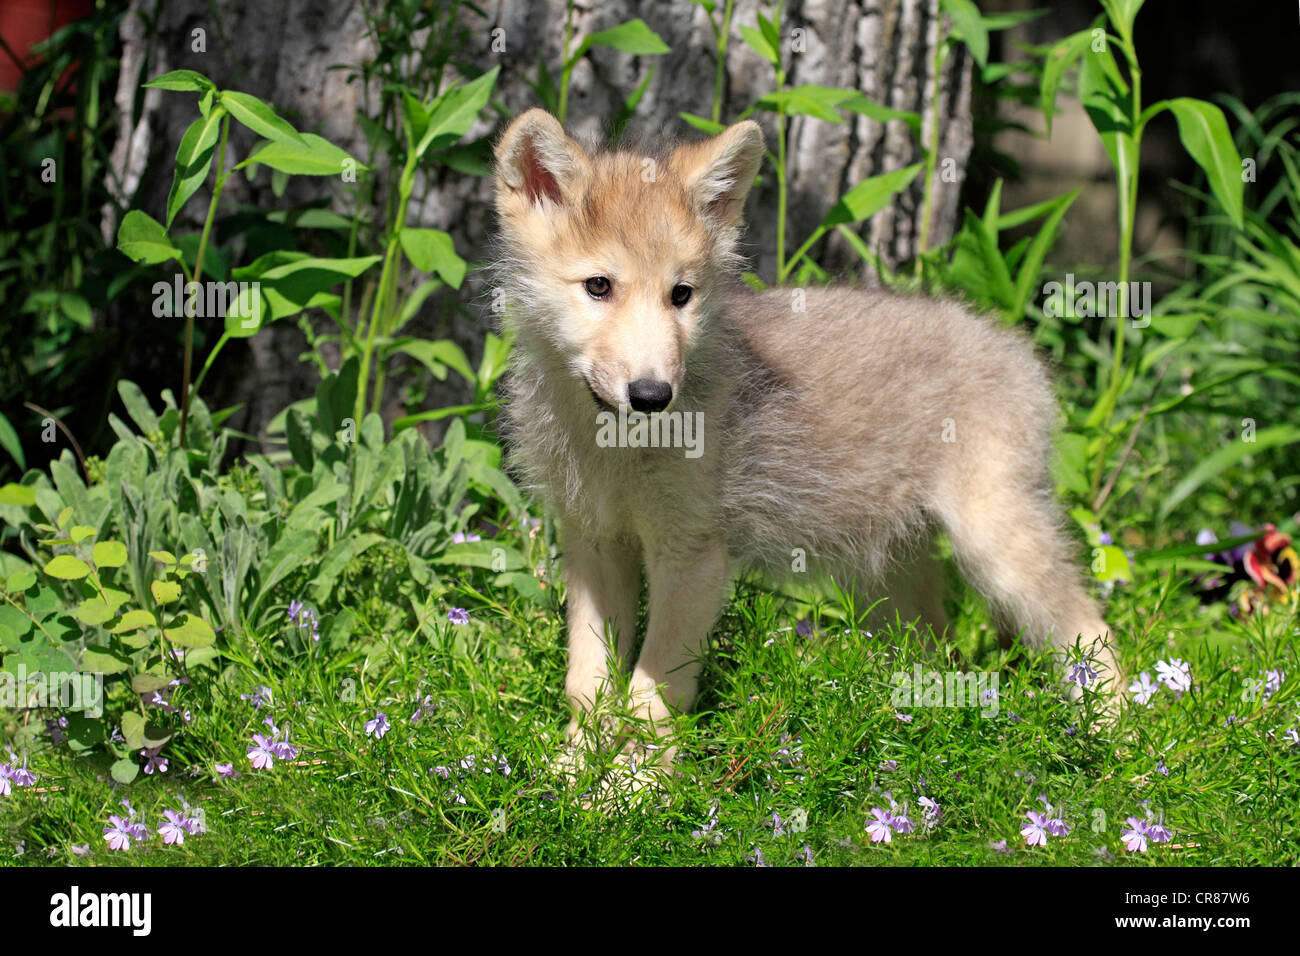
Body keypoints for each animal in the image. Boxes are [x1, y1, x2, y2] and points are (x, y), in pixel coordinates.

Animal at [491, 108, 1121, 772]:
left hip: (995, 545)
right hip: (892, 571)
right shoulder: (595, 544)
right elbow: (588, 684)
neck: (613, 444)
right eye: (599, 287)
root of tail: (1014, 347)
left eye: (681, 295)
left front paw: (633, 786)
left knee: (1093, 631)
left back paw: (1122, 749)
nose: (653, 395)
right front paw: (570, 773)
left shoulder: (691, 556)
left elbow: (650, 698)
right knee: (937, 644)